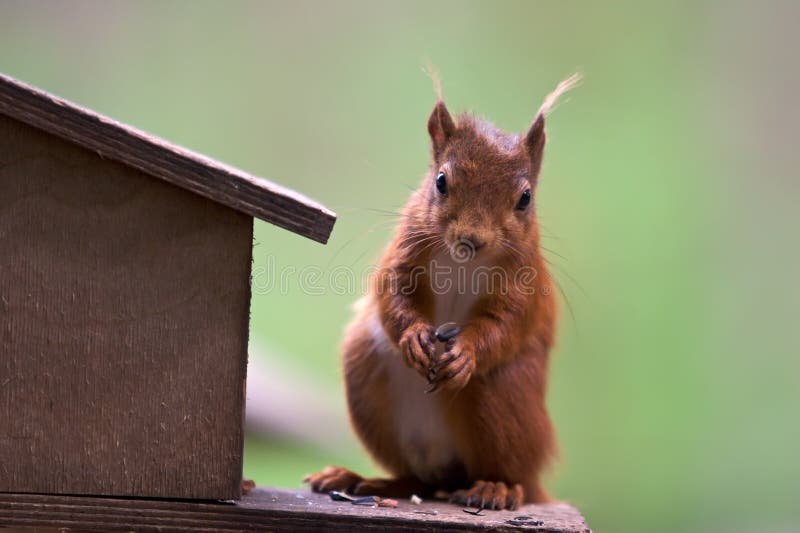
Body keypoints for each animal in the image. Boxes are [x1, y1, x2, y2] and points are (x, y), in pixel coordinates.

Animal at [305, 74, 580, 510]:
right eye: (441, 182)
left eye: (525, 198)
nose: (471, 239)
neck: (462, 261)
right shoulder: (405, 248)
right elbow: (392, 294)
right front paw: (415, 336)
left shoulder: (524, 280)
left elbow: (507, 322)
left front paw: (466, 352)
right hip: (365, 371)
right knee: (414, 480)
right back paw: (361, 480)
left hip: (504, 395)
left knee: (511, 477)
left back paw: (496, 488)